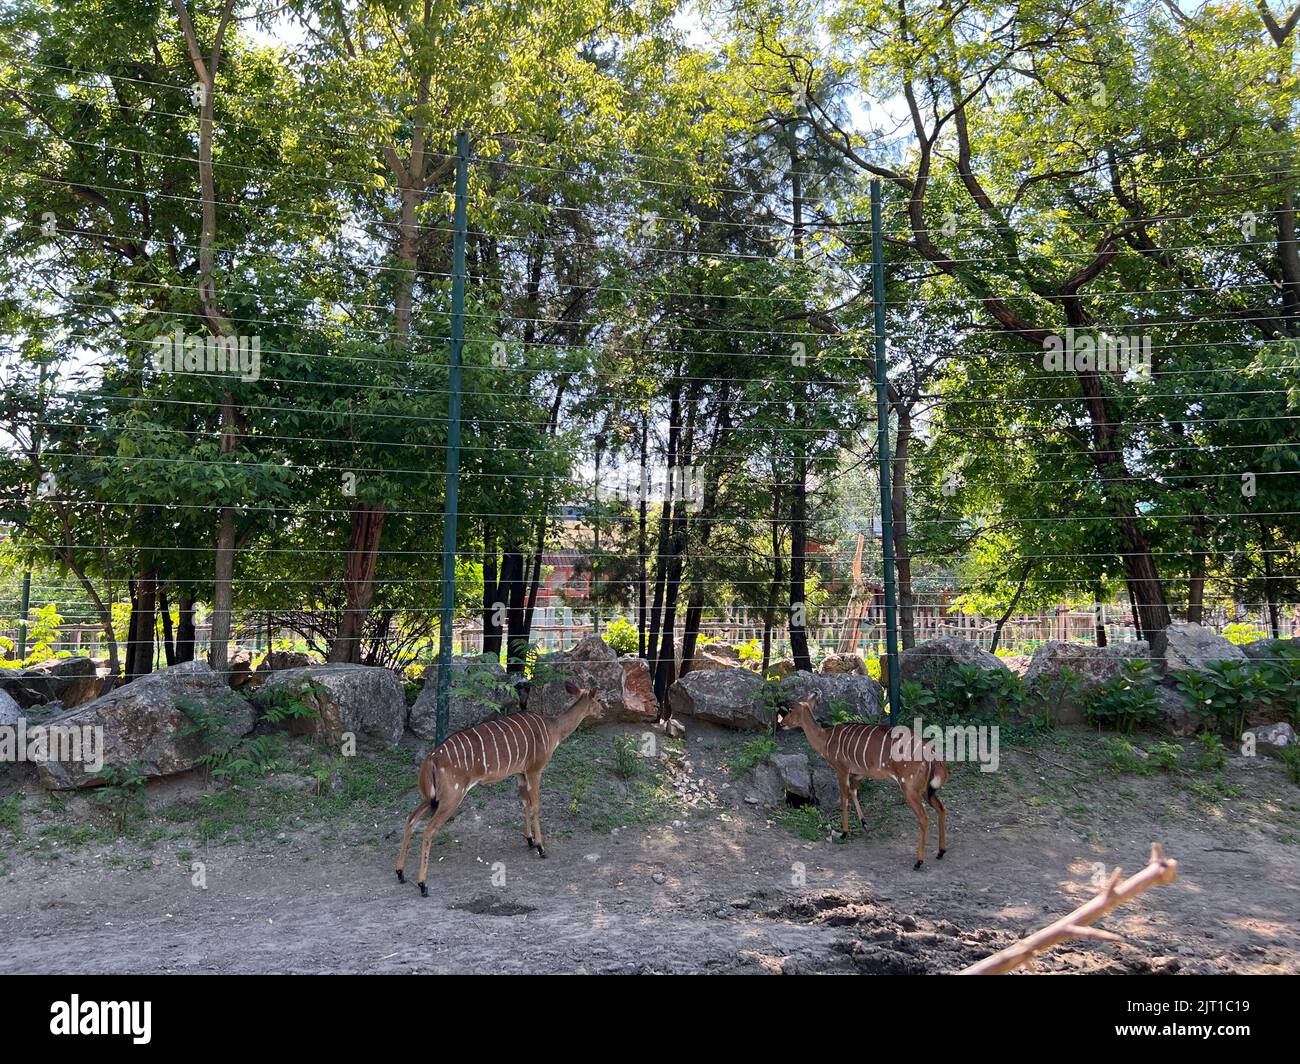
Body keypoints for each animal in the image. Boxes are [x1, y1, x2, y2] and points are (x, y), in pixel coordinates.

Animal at [395, 680, 605, 897]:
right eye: (599, 699)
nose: (604, 712)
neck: (553, 729)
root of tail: (430, 759)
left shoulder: (519, 773)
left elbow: (524, 803)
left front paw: (530, 841)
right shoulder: (534, 770)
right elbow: (536, 805)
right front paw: (541, 848)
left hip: (431, 798)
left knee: (410, 819)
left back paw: (400, 873)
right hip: (451, 797)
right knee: (428, 830)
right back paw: (423, 885)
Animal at [776, 695, 949, 869]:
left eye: (790, 710)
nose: (781, 724)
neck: (826, 740)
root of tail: (933, 758)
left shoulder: (842, 768)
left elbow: (844, 797)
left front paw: (844, 833)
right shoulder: (859, 773)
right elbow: (854, 791)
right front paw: (864, 824)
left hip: (909, 787)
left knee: (924, 818)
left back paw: (918, 861)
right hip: (925, 789)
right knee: (941, 808)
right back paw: (941, 851)